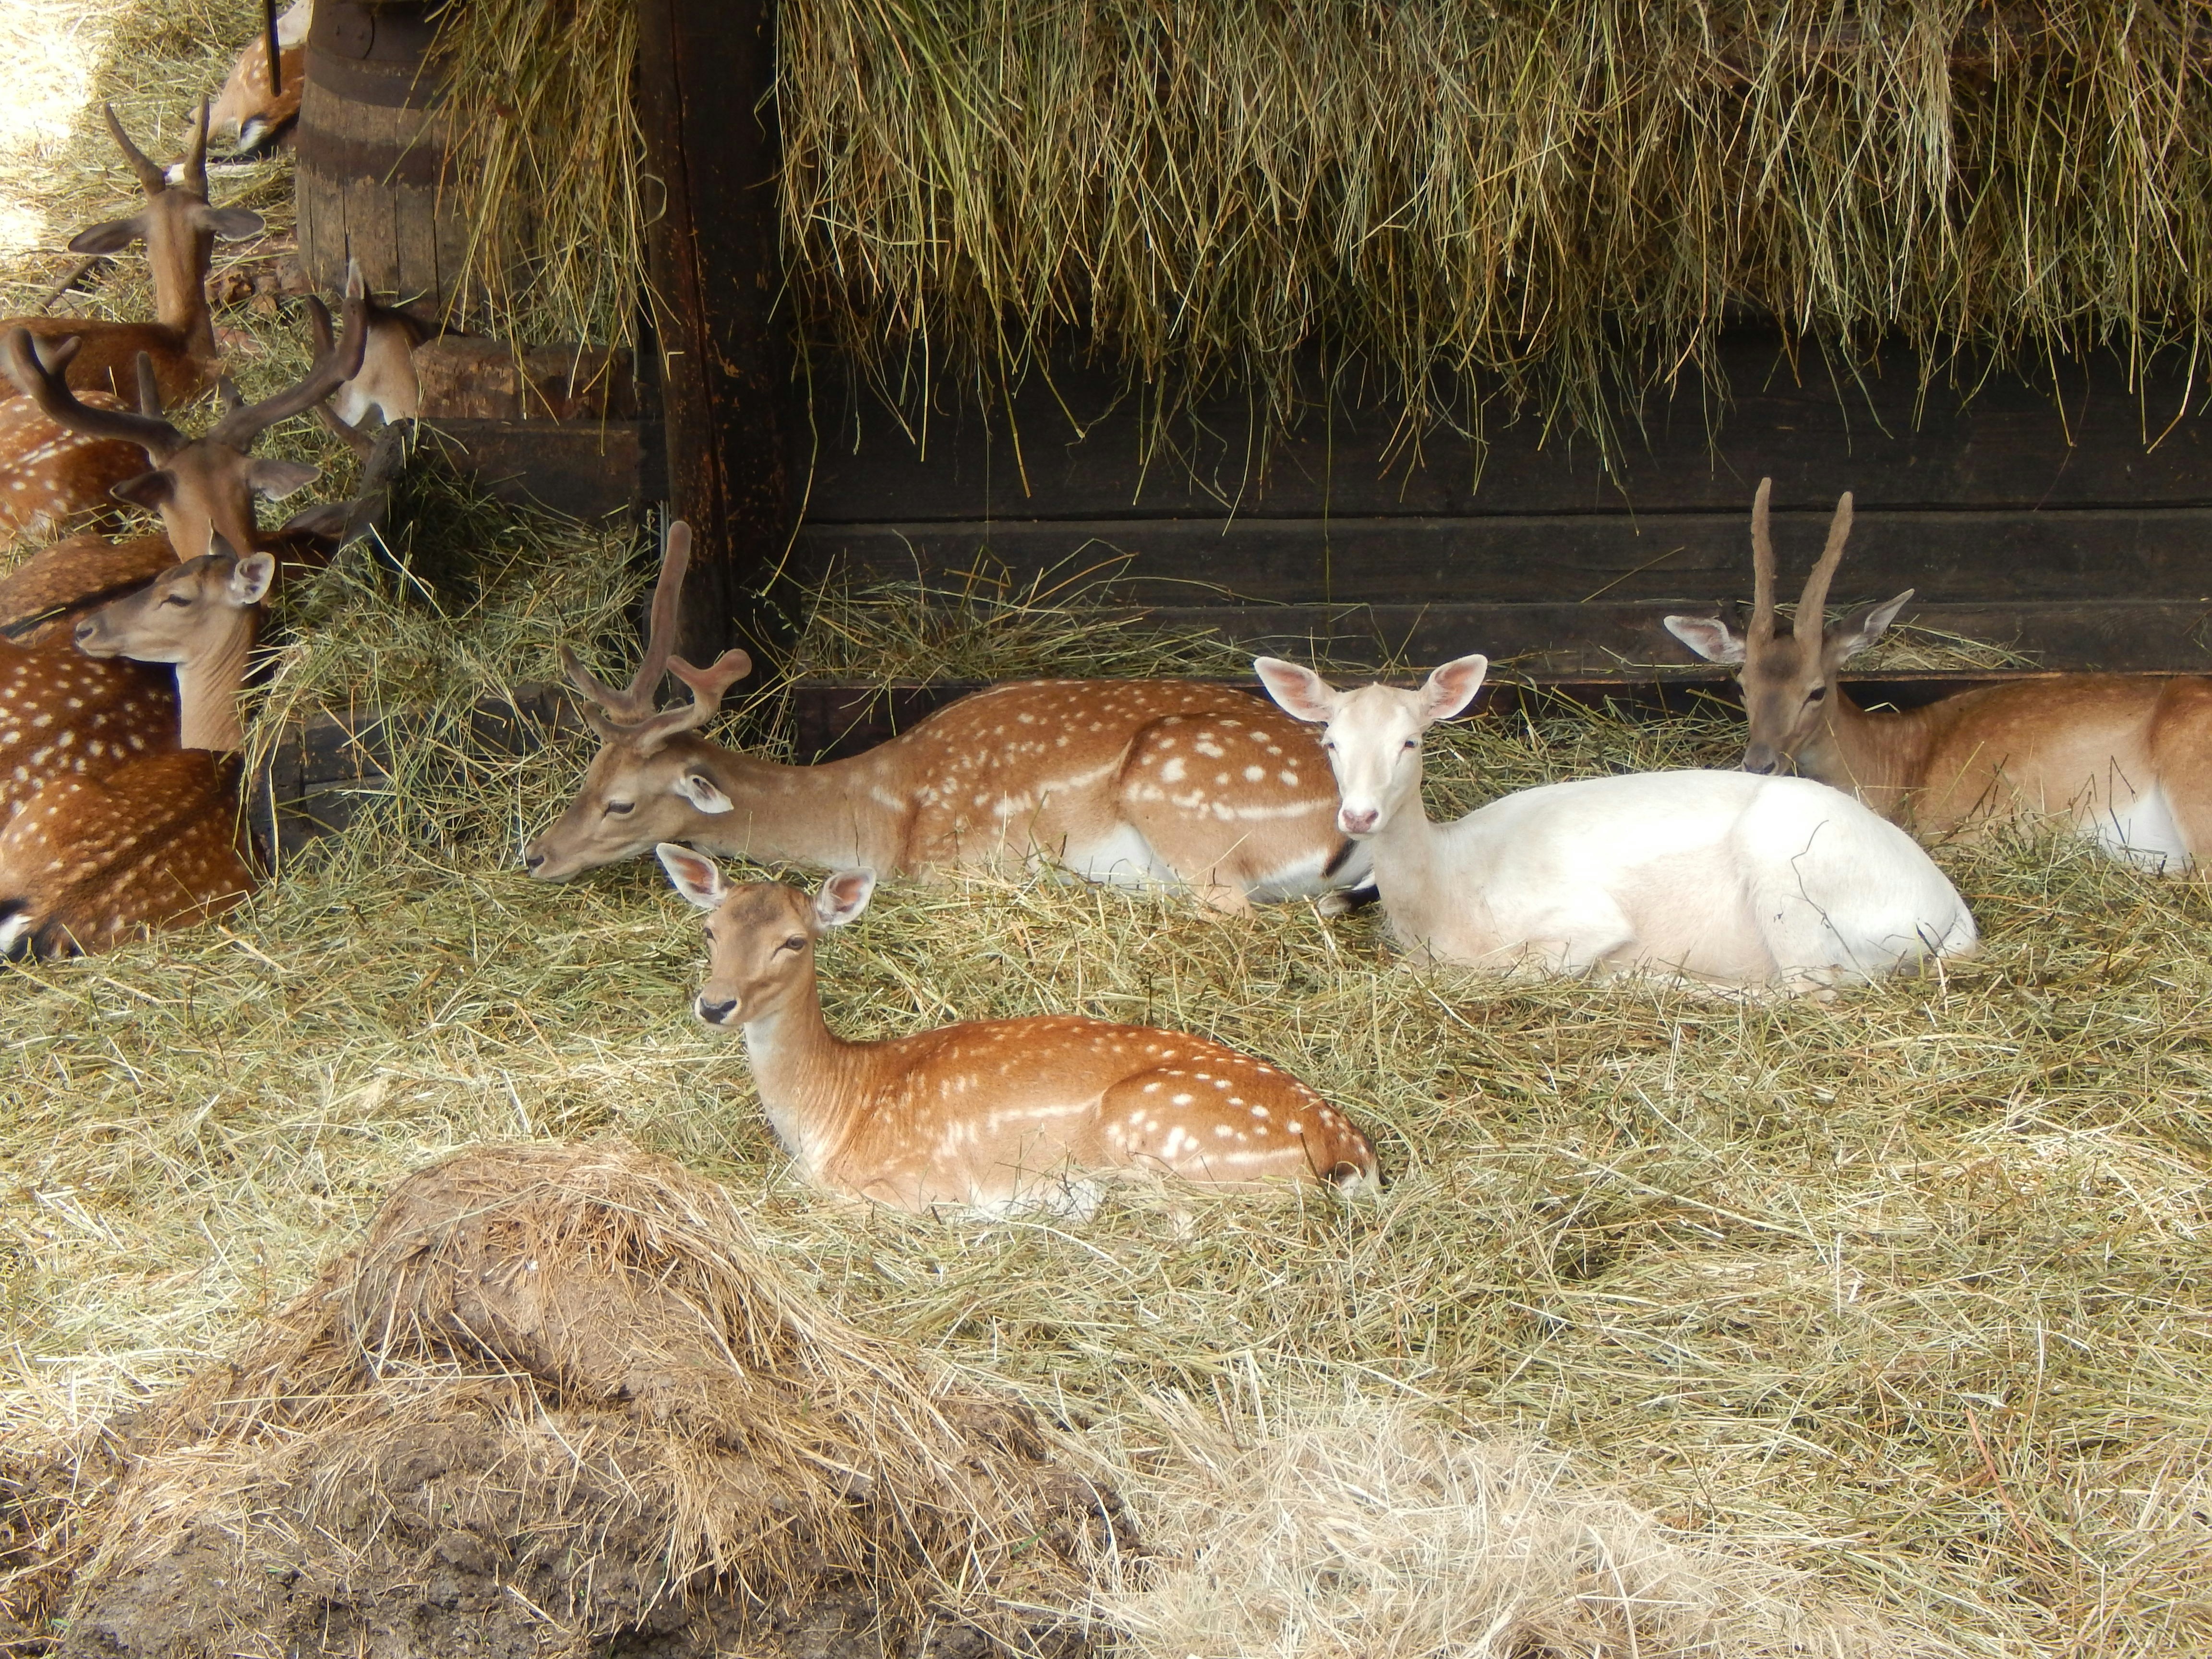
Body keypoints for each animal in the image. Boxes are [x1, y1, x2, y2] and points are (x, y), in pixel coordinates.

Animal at [0, 545, 270, 960]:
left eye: (179, 598)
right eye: (161, 576)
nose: (85, 629)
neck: (225, 750)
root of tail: (41, 916)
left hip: (55, 796)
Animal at [523, 523, 1370, 913]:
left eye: (622, 803)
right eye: (585, 773)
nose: (535, 855)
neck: (880, 812)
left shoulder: (951, 865)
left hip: (1183, 798)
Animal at [654, 851, 1379, 1215]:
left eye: (794, 941)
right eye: (710, 929)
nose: (715, 1004)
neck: (835, 1114)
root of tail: (1351, 1152)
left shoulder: (906, 1185)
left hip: (1159, 1135)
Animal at [1254, 654, 1979, 994]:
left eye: (1411, 741)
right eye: (1329, 742)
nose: (1359, 814)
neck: (1450, 897)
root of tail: (1953, 912)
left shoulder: (1584, 919)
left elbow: (1510, 969)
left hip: (1795, 883)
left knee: (1806, 991)